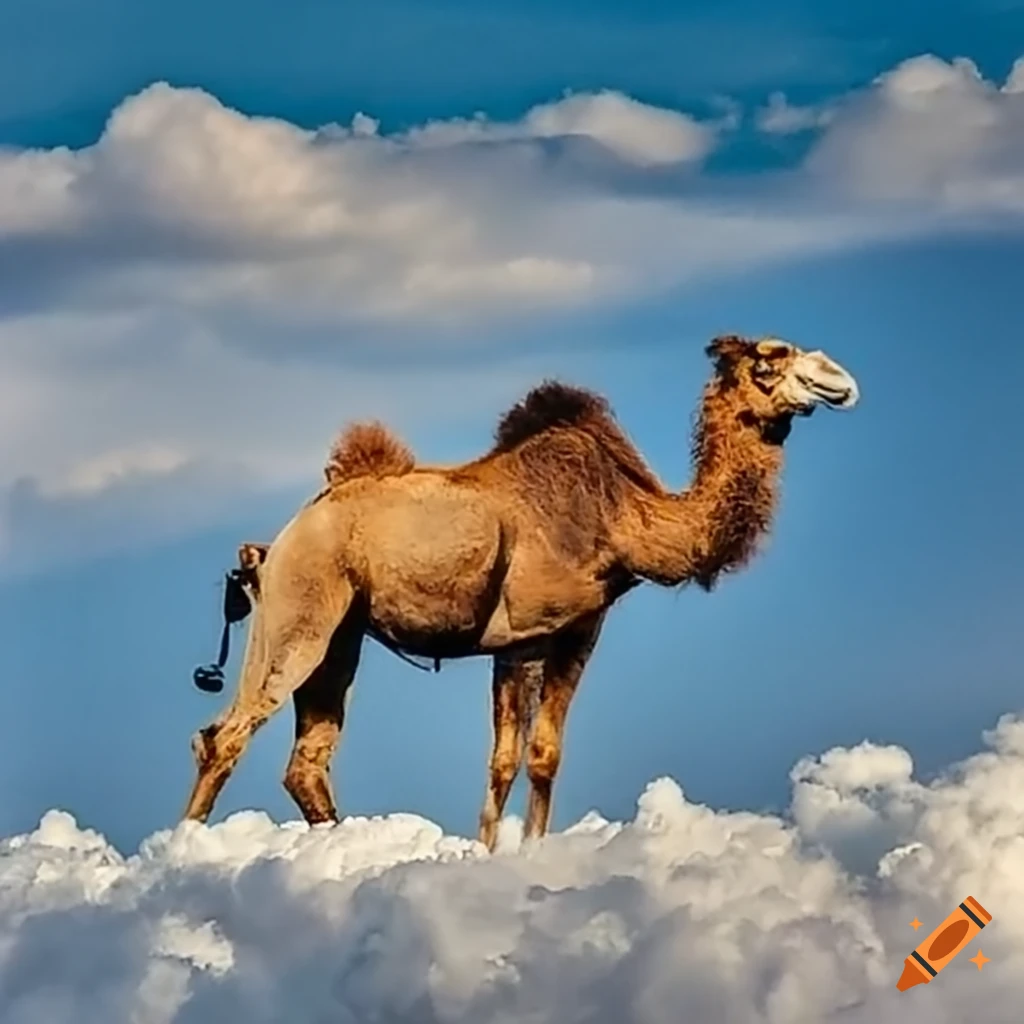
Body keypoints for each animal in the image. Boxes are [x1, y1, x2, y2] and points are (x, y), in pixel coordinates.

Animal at [183, 335, 859, 849]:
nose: (841, 380)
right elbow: (506, 758)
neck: (624, 518)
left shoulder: (580, 630)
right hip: (301, 605)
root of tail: (272, 546)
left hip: (339, 631)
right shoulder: (524, 636)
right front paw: (496, 853)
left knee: (307, 759)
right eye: (769, 358)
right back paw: (185, 848)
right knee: (226, 734)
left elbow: (543, 753)